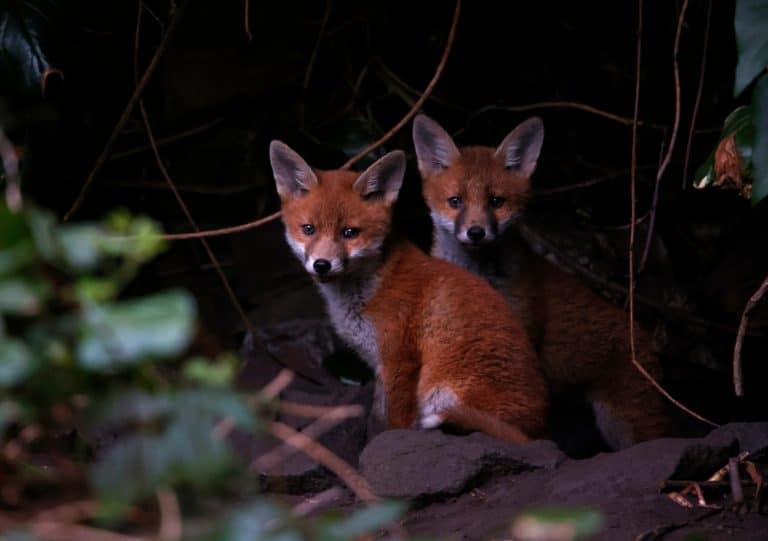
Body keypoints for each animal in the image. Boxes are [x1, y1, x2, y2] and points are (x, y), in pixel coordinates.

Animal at [268, 141, 548, 444]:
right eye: (308, 229)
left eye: (350, 233)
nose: (321, 264)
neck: (367, 291)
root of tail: (537, 434)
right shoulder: (378, 364)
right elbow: (377, 418)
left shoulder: (400, 359)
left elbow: (396, 423)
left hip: (438, 390)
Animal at [412, 114, 668, 450]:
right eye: (455, 201)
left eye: (497, 202)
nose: (476, 232)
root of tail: (649, 345)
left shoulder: (520, 331)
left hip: (625, 423)